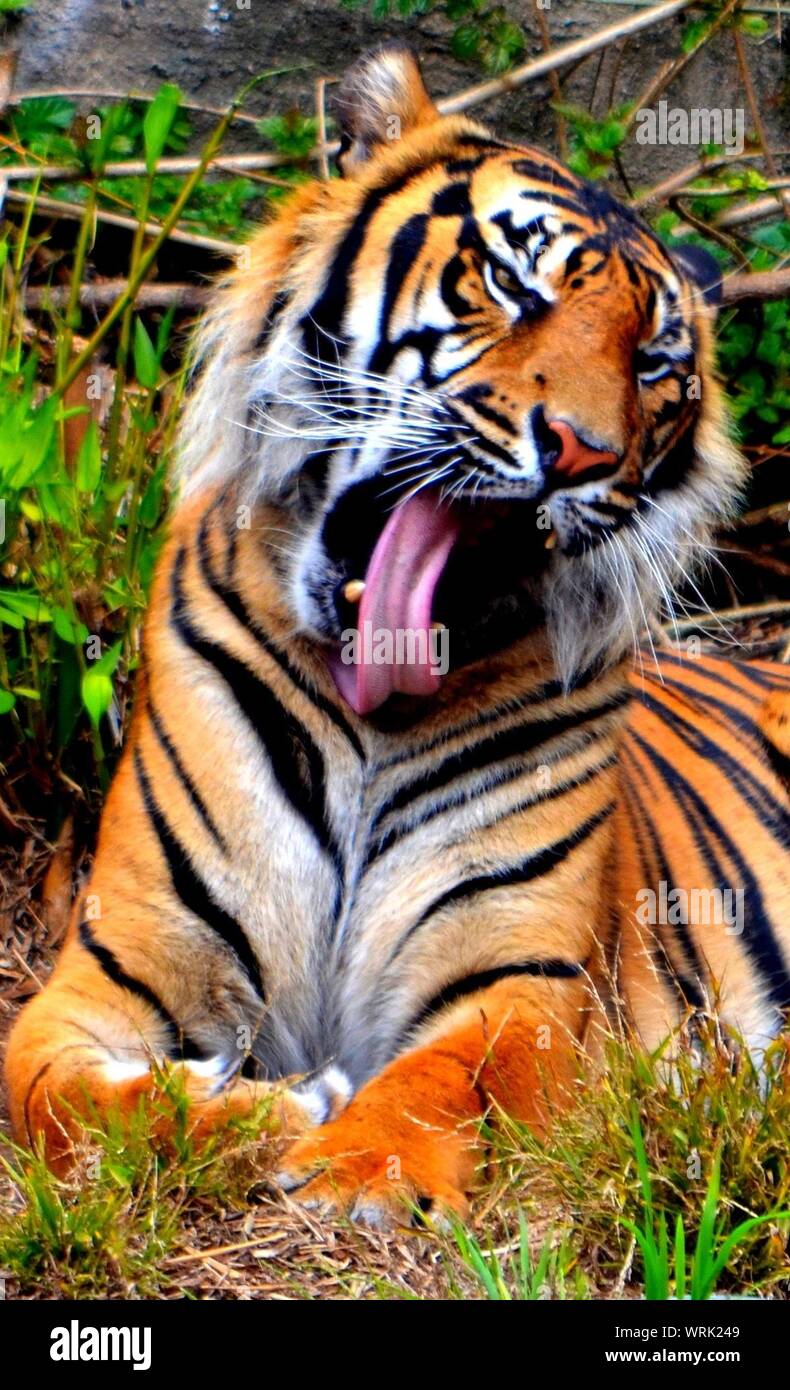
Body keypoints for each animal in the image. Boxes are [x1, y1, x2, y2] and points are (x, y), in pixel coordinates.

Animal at [5, 43, 790, 1227]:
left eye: (654, 363)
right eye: (511, 283)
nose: (583, 452)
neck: (366, 721)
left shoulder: (522, 978)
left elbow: (450, 1074)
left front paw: (354, 1169)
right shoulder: (115, 962)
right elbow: (52, 1094)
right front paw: (258, 1108)